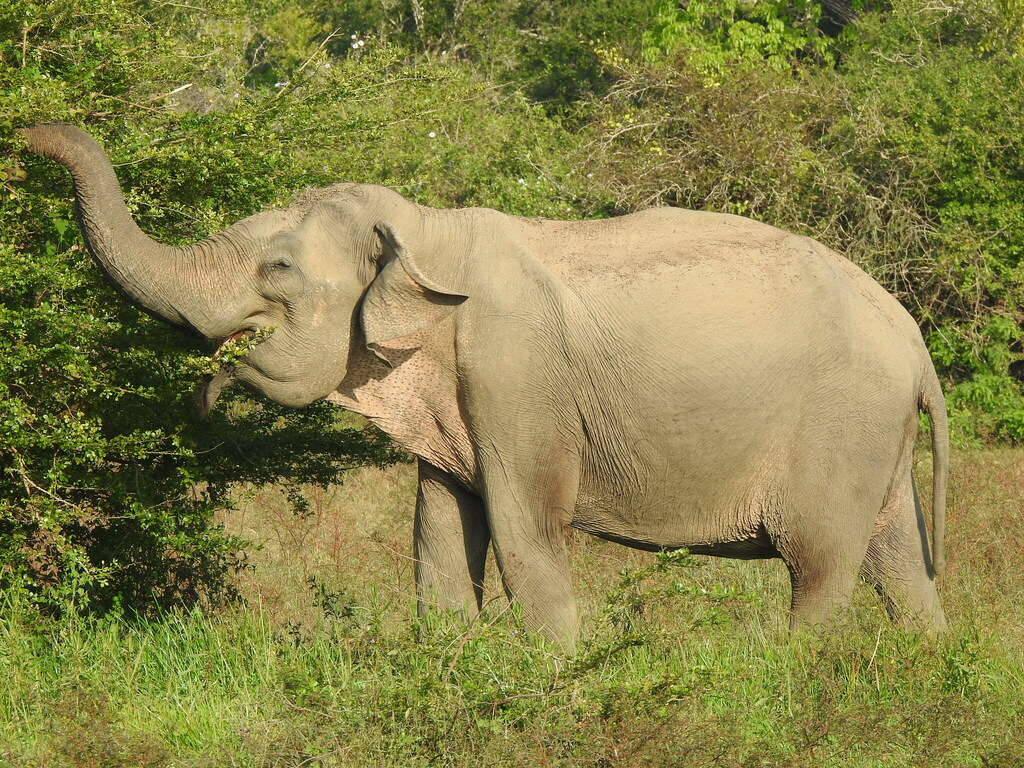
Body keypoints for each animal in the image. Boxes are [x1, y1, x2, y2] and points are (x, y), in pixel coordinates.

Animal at [21, 123, 948, 650]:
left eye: (277, 268)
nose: (23, 138)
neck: (428, 229)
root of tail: (914, 339)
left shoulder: (516, 377)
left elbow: (526, 535)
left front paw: (557, 687)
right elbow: (437, 544)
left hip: (842, 428)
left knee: (821, 571)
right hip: (878, 444)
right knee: (903, 569)